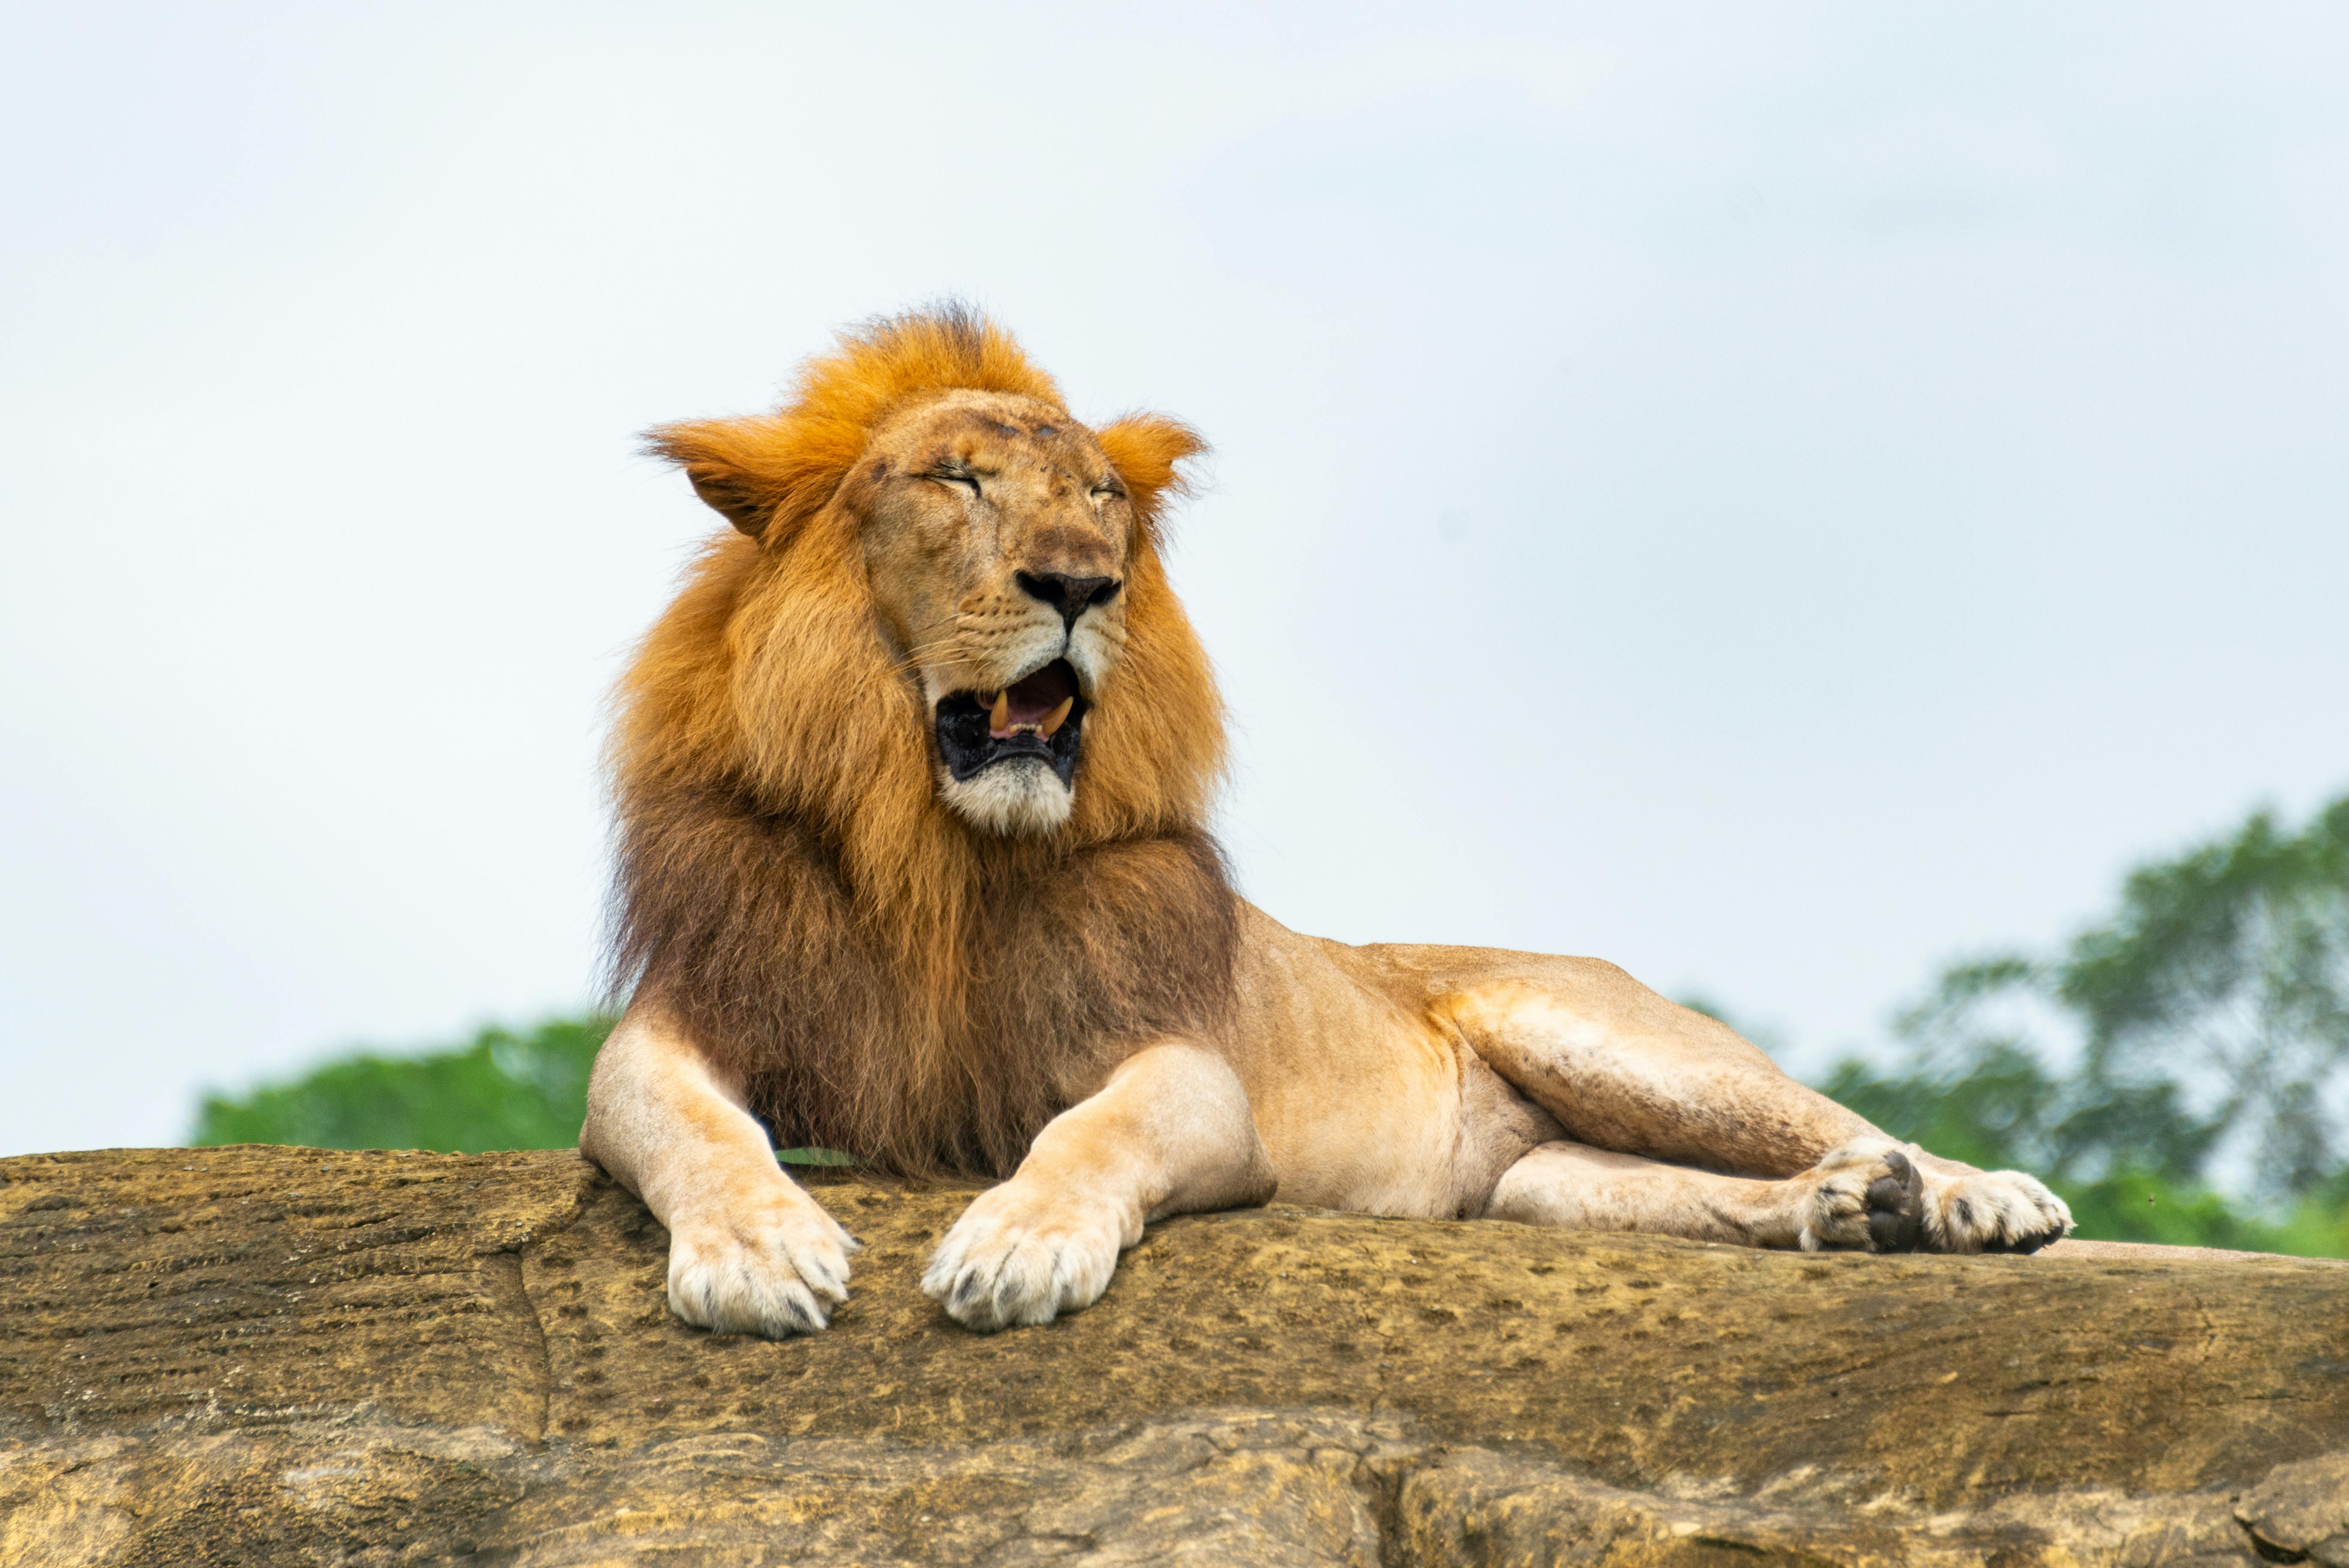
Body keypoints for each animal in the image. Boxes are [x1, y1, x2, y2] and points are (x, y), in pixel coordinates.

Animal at [580, 305, 2072, 1337]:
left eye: (1103, 498)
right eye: (955, 479)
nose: (1082, 582)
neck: (932, 846)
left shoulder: (1190, 1073)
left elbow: (1089, 1135)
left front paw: (1015, 1245)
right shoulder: (683, 1022)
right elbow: (688, 1124)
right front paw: (758, 1251)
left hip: (1602, 1034)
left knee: (1831, 1113)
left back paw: (1969, 1196)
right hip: (1542, 1184)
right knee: (1684, 1188)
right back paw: (1846, 1207)